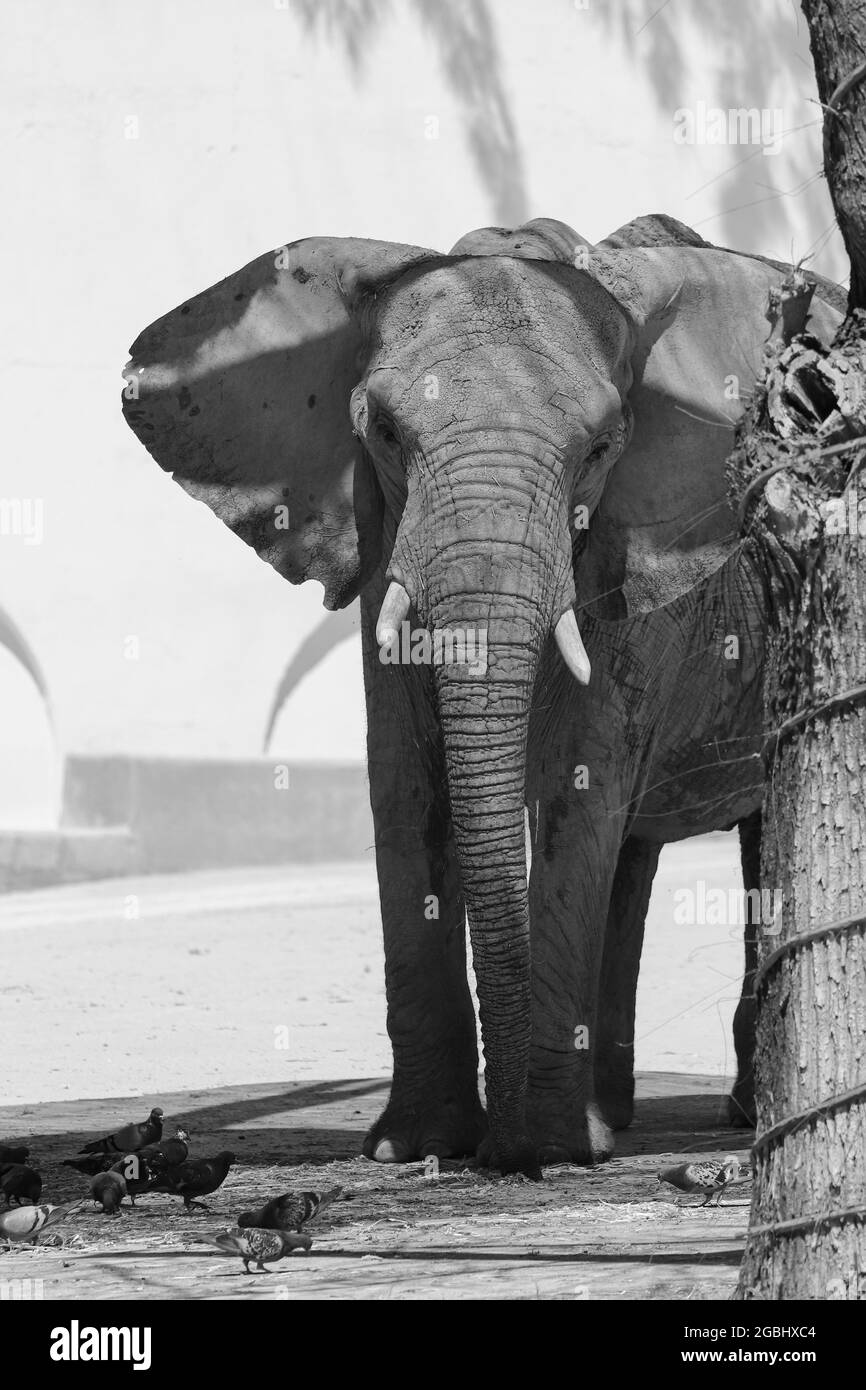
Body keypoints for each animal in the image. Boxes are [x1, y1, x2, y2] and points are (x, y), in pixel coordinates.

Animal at [122, 212, 844, 1177]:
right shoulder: (384, 540)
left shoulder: (621, 561)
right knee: (634, 855)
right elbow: (407, 788)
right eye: (383, 431)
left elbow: (576, 790)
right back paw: (612, 1115)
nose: (503, 1160)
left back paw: (713, 1111)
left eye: (603, 448)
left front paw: (548, 1146)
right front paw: (416, 1148)